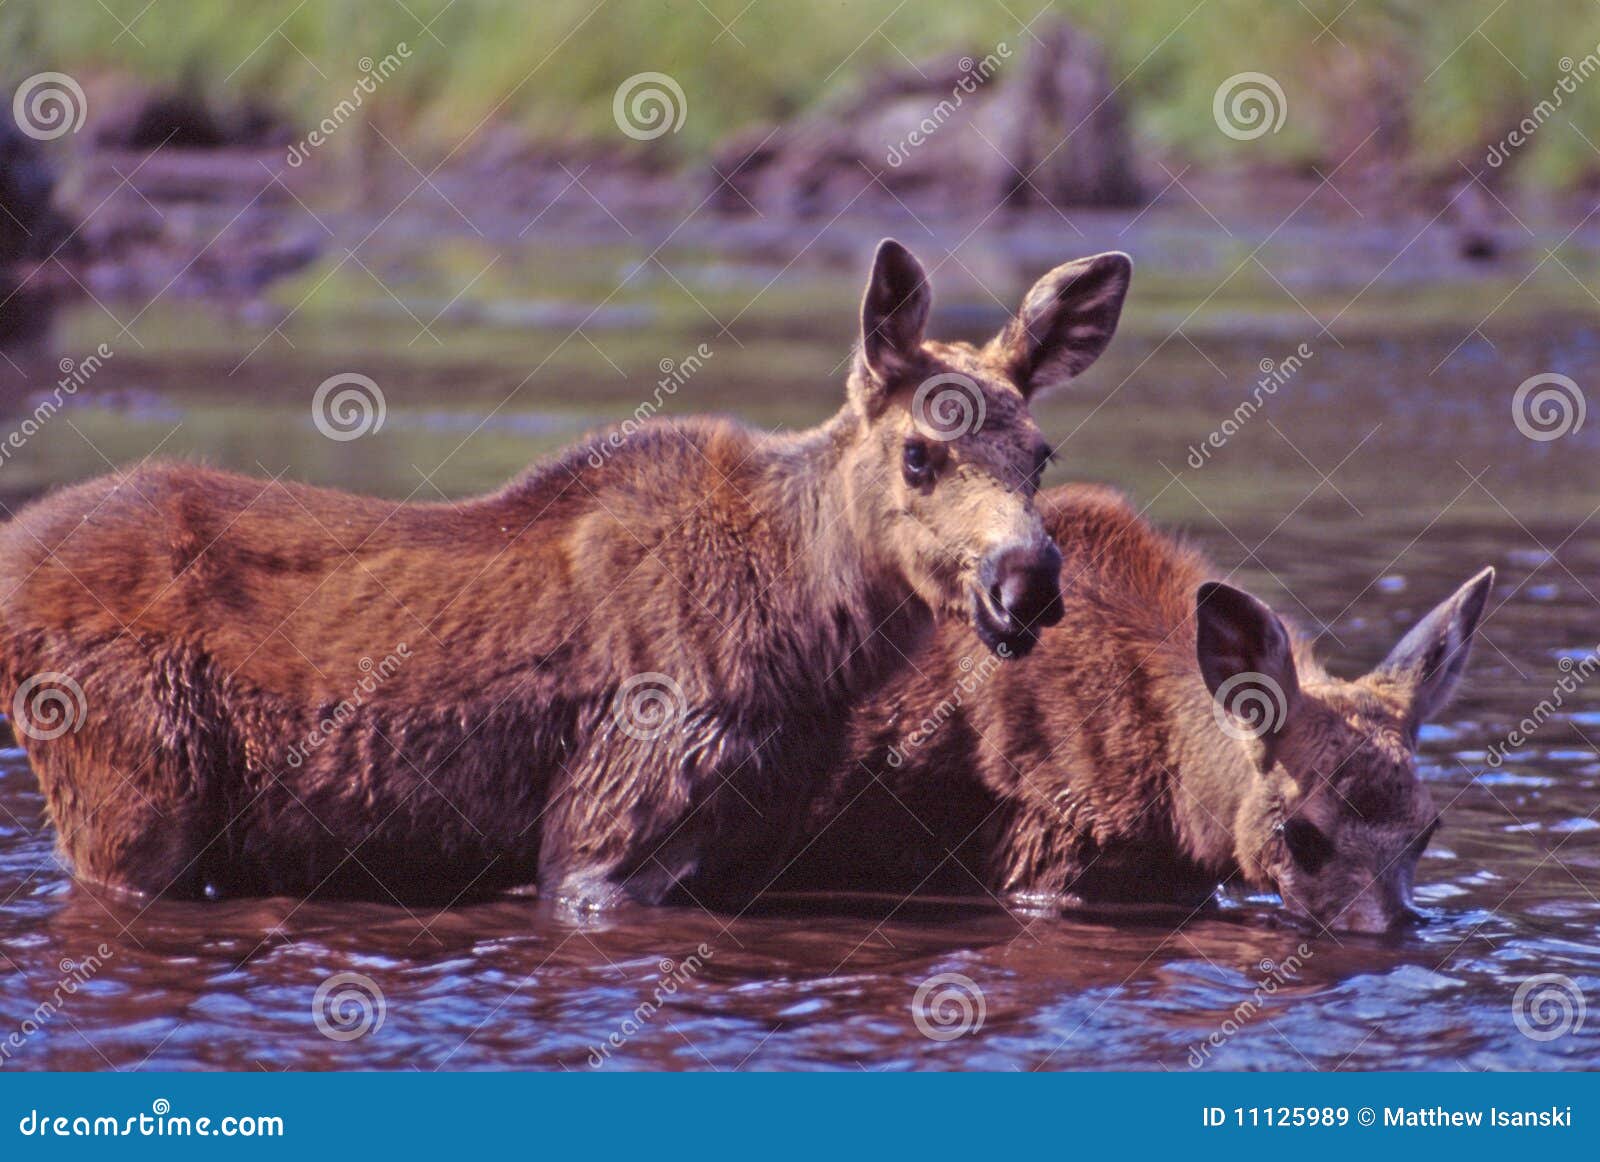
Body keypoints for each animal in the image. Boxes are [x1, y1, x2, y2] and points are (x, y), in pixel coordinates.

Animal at [0, 241, 1132, 909]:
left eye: (1042, 456)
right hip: (129, 790)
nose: (1025, 581)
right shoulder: (606, 818)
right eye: (918, 455)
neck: (812, 637)